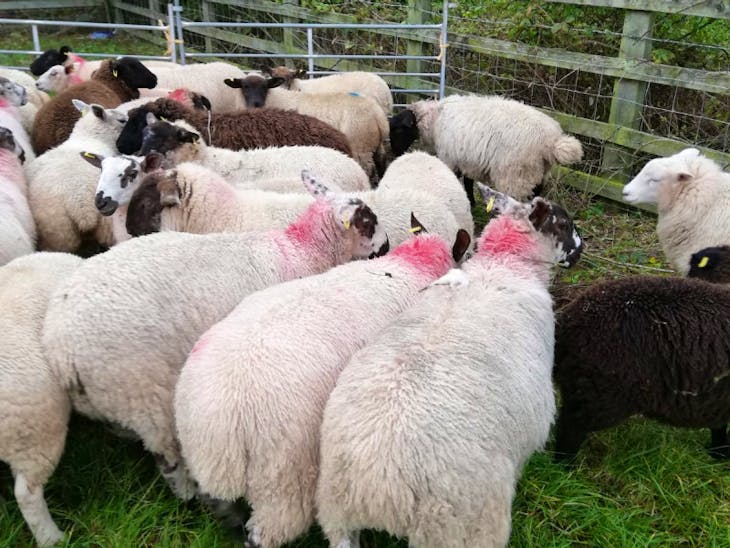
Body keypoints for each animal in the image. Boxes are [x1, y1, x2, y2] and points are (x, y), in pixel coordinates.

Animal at [41, 179, 388, 501]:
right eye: (367, 220)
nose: (386, 248)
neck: (299, 250)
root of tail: (61, 349)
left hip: (114, 394)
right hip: (141, 392)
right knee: (166, 456)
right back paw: (187, 493)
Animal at [224, 73, 389, 183]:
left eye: (265, 87)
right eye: (245, 87)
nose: (256, 104)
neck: (275, 99)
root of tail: (378, 115)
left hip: (361, 146)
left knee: (367, 170)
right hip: (375, 144)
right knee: (382, 161)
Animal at [388, 94, 584, 204]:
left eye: (398, 130)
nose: (394, 154)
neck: (435, 119)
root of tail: (552, 142)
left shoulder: (450, 158)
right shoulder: (467, 158)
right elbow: (468, 182)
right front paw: (471, 202)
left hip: (515, 175)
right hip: (538, 173)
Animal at [553, 275, 730, 462]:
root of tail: (569, 320)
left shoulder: (717, 398)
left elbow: (718, 425)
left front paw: (719, 453)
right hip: (602, 393)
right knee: (570, 427)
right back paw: (565, 465)